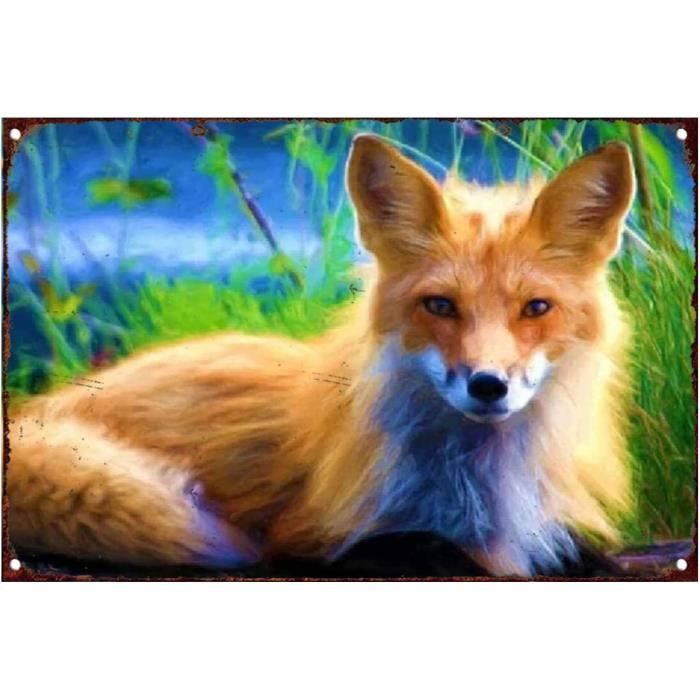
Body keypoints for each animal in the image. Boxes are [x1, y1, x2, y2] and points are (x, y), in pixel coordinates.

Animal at [5, 134, 636, 577]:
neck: (480, 484)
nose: (487, 385)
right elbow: (427, 546)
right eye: (440, 305)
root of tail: (36, 411)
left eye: (535, 308)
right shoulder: (313, 535)